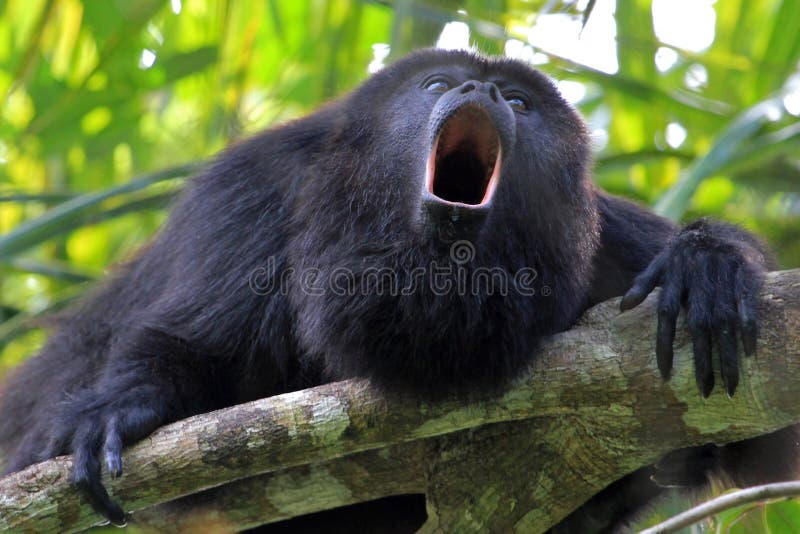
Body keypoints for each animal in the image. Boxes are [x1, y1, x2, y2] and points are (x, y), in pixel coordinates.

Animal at [0, 49, 796, 532]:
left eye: (518, 101)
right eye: (439, 85)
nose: (480, 88)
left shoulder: (607, 241)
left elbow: (763, 439)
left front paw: (705, 264)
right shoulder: (253, 191)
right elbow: (191, 344)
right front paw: (124, 407)